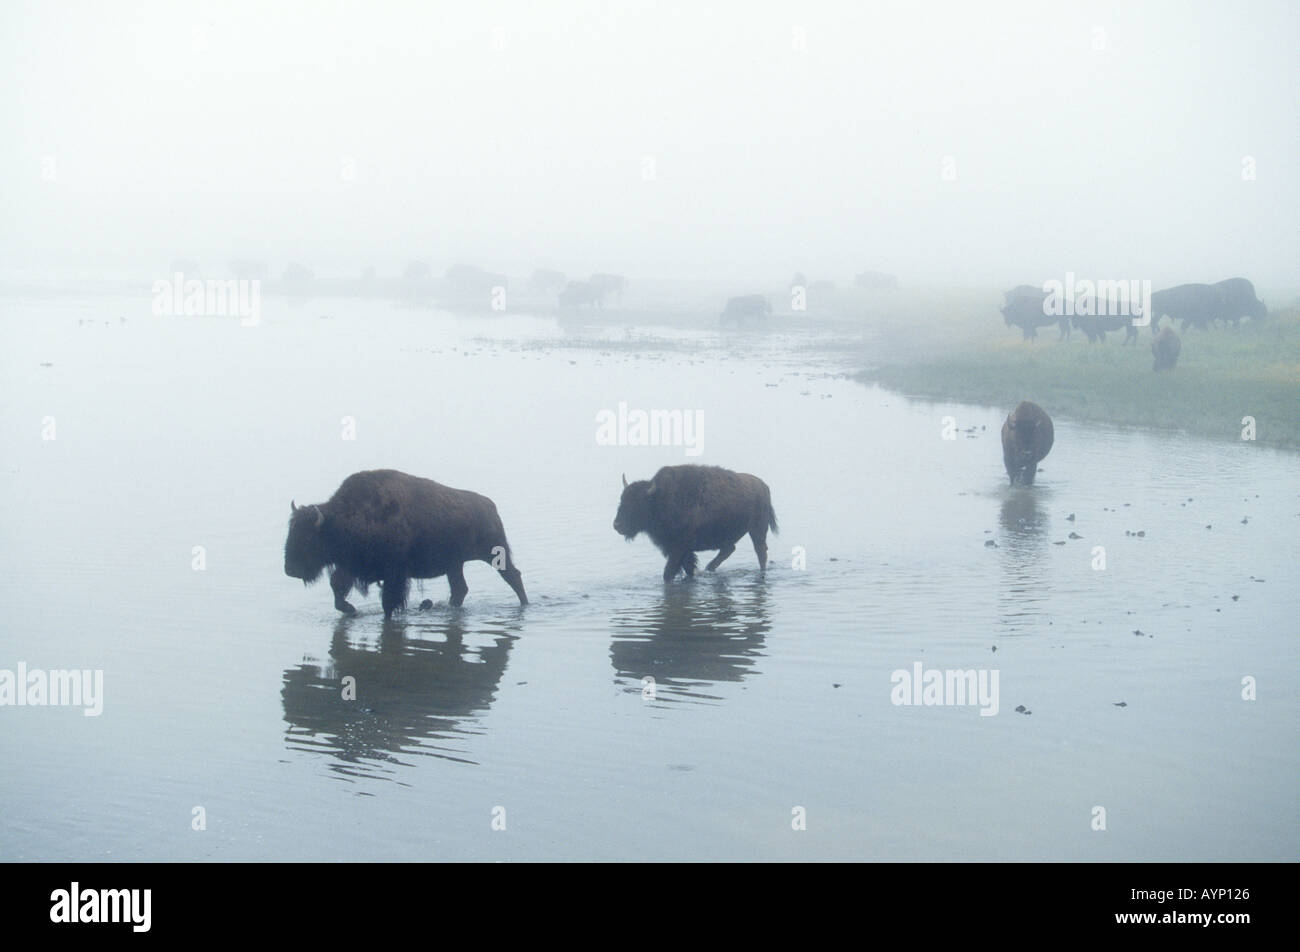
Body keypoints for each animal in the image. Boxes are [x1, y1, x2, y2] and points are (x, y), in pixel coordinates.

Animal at [284, 469, 527, 618]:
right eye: (290, 533)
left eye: (307, 538)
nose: (290, 570)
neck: (341, 519)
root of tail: (490, 506)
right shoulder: (350, 567)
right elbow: (337, 588)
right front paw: (351, 609)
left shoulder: (394, 574)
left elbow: (388, 601)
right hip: (455, 564)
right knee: (460, 588)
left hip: (494, 554)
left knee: (513, 576)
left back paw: (524, 604)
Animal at [613, 465, 778, 582]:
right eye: (621, 500)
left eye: (637, 504)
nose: (617, 525)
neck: (661, 499)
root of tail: (764, 486)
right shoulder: (679, 550)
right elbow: (687, 569)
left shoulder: (678, 548)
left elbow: (669, 572)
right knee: (729, 549)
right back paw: (709, 568)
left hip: (757, 531)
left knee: (760, 553)